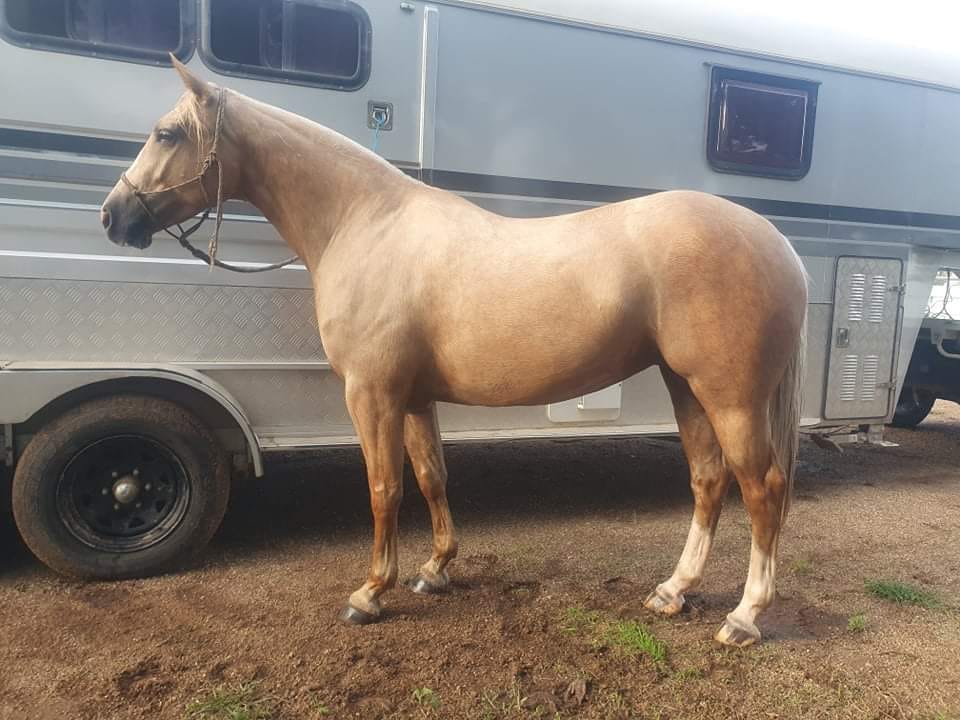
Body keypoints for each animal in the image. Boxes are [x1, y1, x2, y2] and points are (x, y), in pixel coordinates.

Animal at [101, 57, 808, 647]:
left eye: (167, 134)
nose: (113, 217)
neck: (365, 221)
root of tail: (779, 244)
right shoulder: (413, 398)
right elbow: (431, 476)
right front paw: (435, 570)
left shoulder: (372, 394)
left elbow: (383, 488)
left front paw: (369, 594)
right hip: (685, 386)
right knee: (708, 481)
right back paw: (674, 591)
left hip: (730, 397)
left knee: (762, 488)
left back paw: (745, 616)